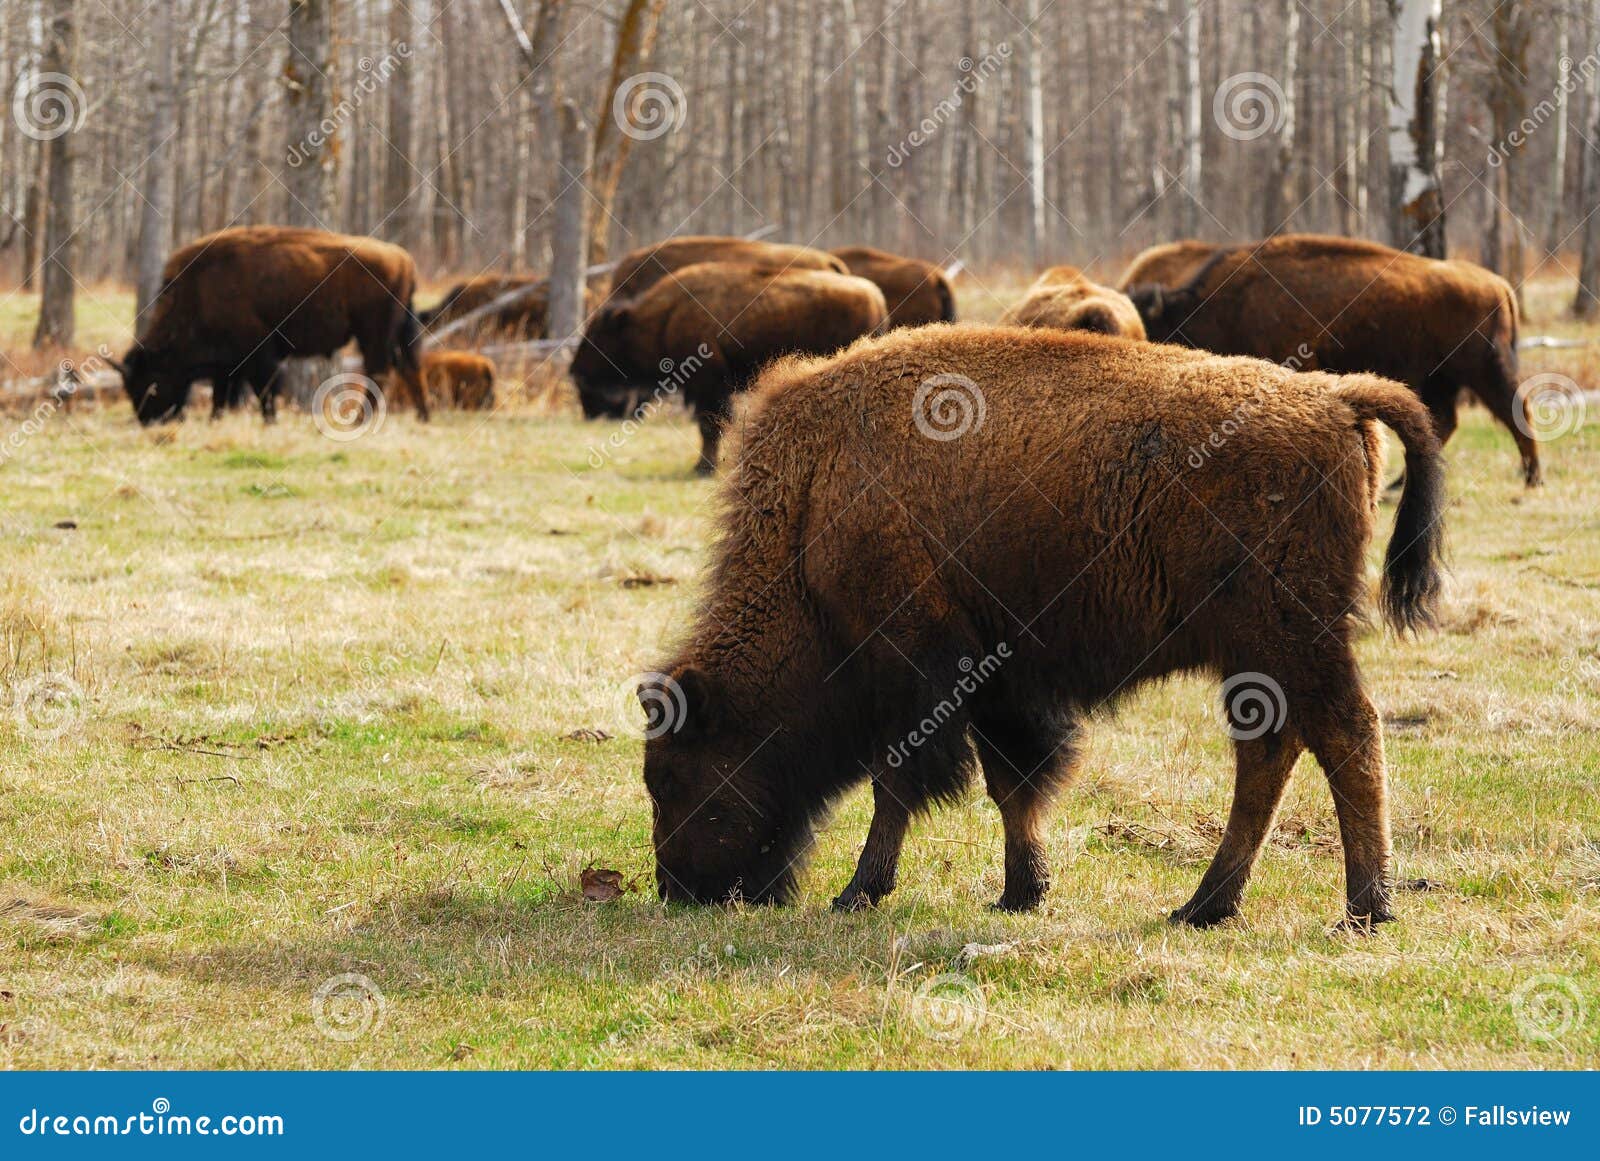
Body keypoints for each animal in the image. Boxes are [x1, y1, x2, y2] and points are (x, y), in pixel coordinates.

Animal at [115, 226, 428, 424]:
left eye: (151, 382)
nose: (149, 420)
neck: (196, 293)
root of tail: (403, 259)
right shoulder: (227, 363)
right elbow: (221, 393)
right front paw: (215, 419)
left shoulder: (259, 353)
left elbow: (264, 388)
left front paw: (269, 421)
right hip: (400, 329)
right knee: (410, 367)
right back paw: (422, 417)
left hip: (373, 333)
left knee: (380, 371)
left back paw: (360, 420)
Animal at [571, 261, 887, 473]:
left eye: (601, 337)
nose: (576, 371)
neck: (663, 317)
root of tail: (875, 297)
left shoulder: (707, 385)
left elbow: (710, 425)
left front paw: (703, 468)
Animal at [640, 324, 1444, 926]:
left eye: (674, 775)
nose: (678, 889)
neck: (811, 503)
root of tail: (1335, 396)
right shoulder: (996, 683)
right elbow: (1012, 783)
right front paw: (1021, 892)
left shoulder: (913, 670)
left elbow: (899, 782)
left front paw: (859, 891)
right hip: (1257, 655)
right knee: (1273, 752)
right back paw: (1206, 906)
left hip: (1289, 638)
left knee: (1345, 733)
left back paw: (1364, 908)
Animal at [1125, 234, 1538, 485]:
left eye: (1154, 329)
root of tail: (1499, 285)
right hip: (1441, 378)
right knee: (1443, 422)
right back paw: (1398, 484)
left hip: (1484, 369)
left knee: (1515, 410)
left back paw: (1532, 477)